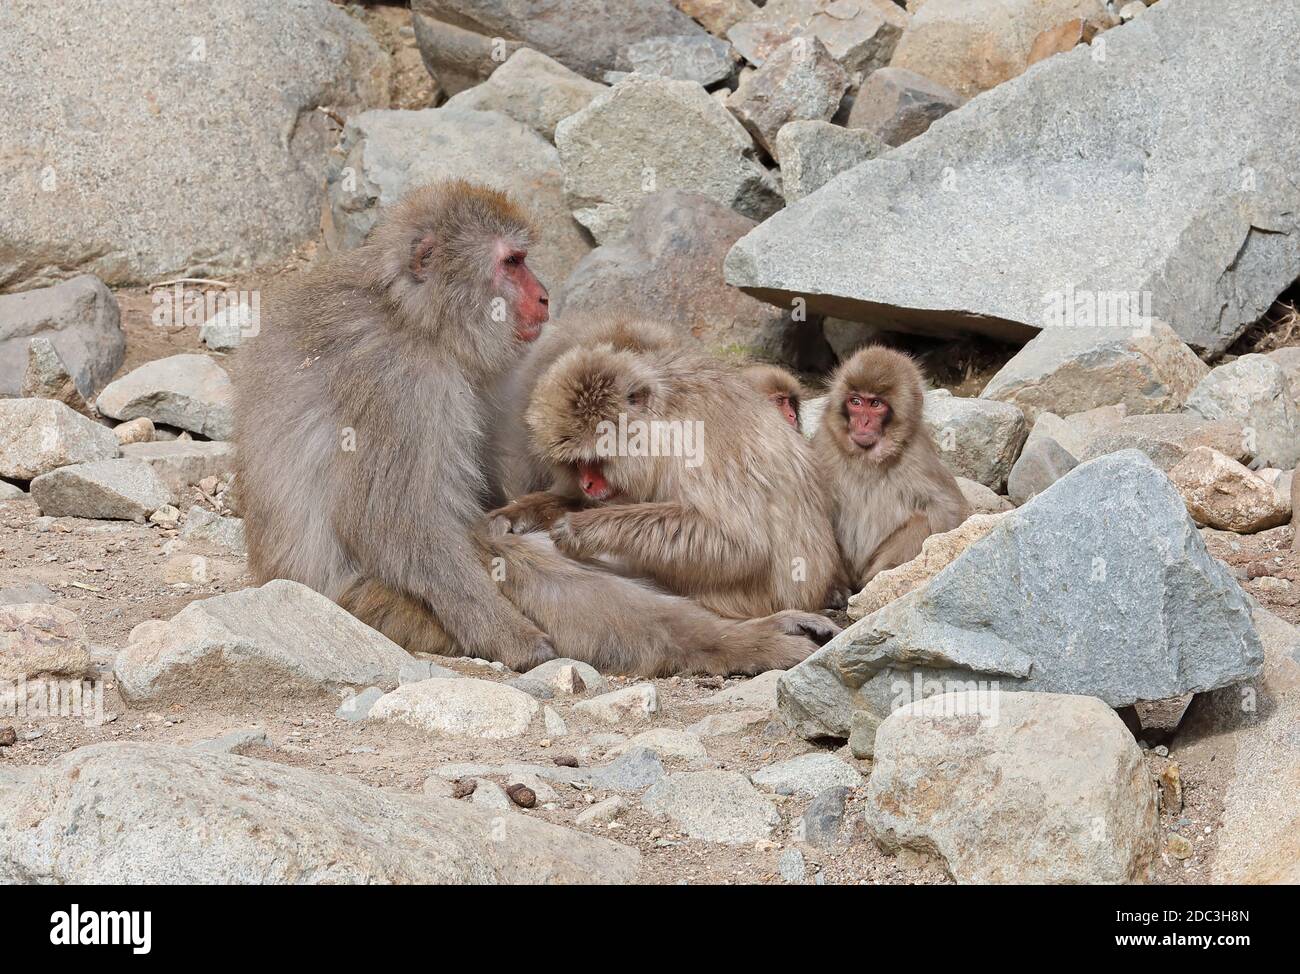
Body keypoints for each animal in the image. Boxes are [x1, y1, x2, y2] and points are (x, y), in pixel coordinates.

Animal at [493, 324, 845, 619]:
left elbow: (737, 542)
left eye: (595, 459)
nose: (588, 484)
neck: (666, 421)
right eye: (575, 463)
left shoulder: (700, 445)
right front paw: (516, 514)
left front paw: (582, 528)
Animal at [813, 344, 969, 588]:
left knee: (923, 518)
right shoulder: (823, 446)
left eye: (875, 404)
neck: (866, 459)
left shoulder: (918, 455)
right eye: (855, 402)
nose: (862, 422)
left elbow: (948, 508)